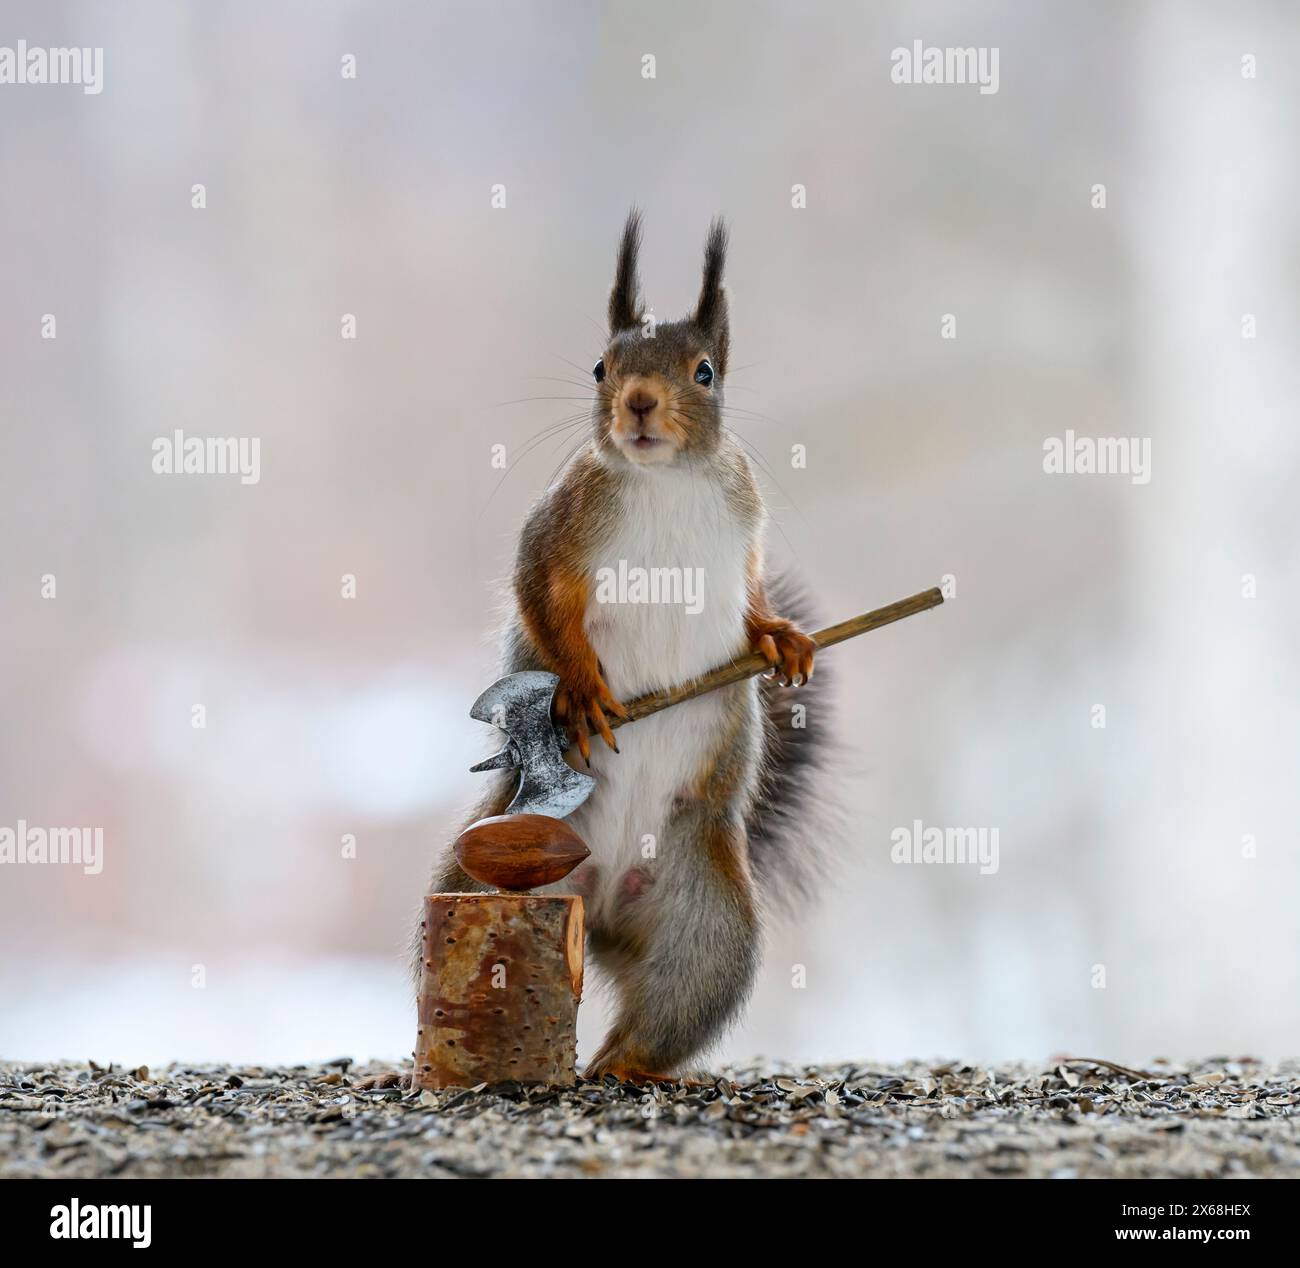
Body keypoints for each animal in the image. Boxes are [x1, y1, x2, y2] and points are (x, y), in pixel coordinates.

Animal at [430, 212, 829, 1082]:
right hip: (490, 857)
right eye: (601, 367)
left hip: (709, 918)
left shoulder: (746, 530)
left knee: (677, 1000)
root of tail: (604, 907)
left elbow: (750, 597)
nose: (640, 402)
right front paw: (580, 689)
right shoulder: (558, 533)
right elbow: (541, 600)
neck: (665, 479)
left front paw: (779, 638)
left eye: (705, 372)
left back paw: (622, 1063)